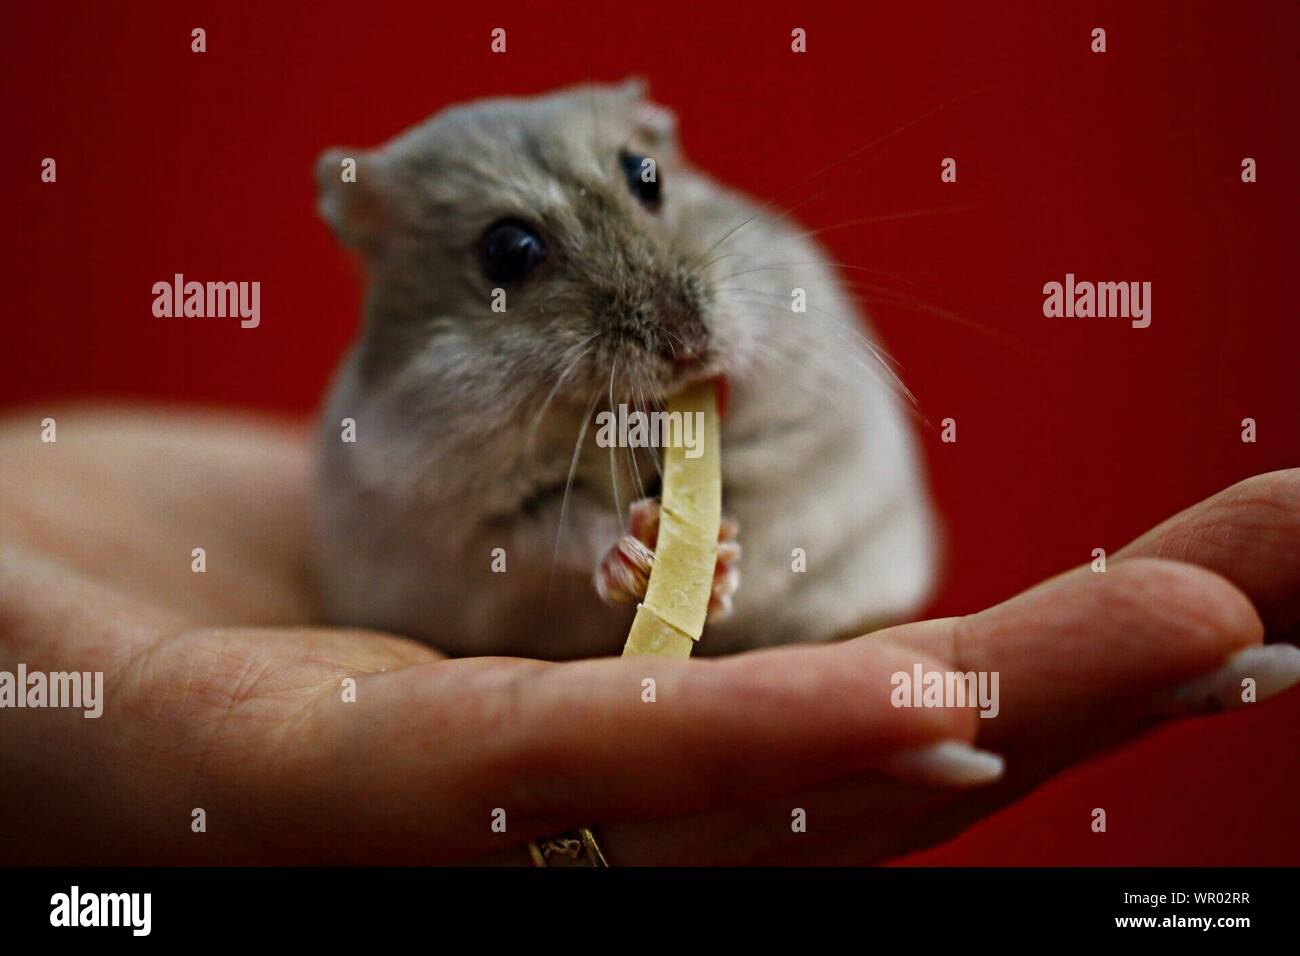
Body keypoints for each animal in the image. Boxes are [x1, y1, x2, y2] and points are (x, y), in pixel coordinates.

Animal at [312, 79, 937, 660]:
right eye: (507, 250)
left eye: (646, 176)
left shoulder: (809, 428)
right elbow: (557, 532)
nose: (689, 347)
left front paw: (722, 566)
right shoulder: (453, 511)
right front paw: (638, 553)